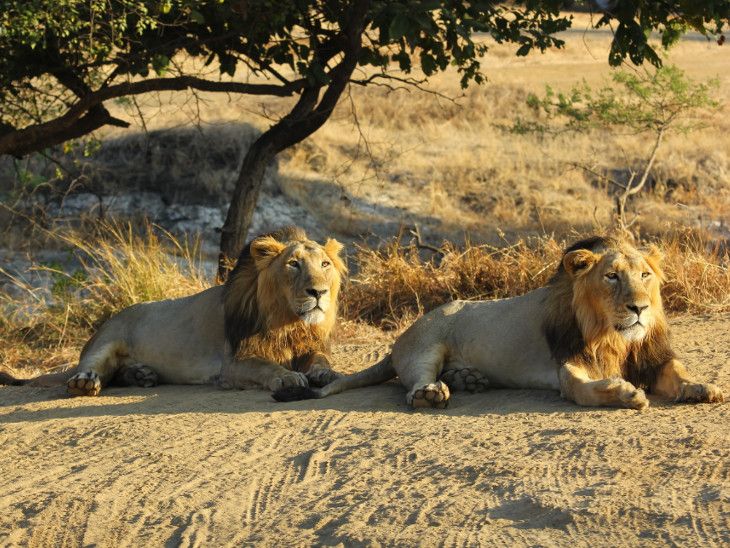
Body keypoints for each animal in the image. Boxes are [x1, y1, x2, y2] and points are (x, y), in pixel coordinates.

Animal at [0, 226, 347, 396]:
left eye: (324, 264)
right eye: (293, 264)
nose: (318, 292)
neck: (288, 321)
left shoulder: (308, 345)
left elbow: (321, 359)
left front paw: (323, 373)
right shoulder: (233, 363)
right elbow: (267, 367)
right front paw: (288, 378)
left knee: (115, 374)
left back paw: (142, 375)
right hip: (105, 340)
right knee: (91, 369)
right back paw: (85, 384)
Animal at [274, 236, 724, 410]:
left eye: (645, 275)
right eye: (612, 277)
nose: (639, 308)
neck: (616, 338)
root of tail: (400, 338)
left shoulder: (654, 356)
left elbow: (679, 371)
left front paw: (702, 387)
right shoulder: (568, 365)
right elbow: (583, 389)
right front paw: (625, 393)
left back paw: (469, 379)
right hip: (428, 344)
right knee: (415, 384)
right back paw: (433, 393)